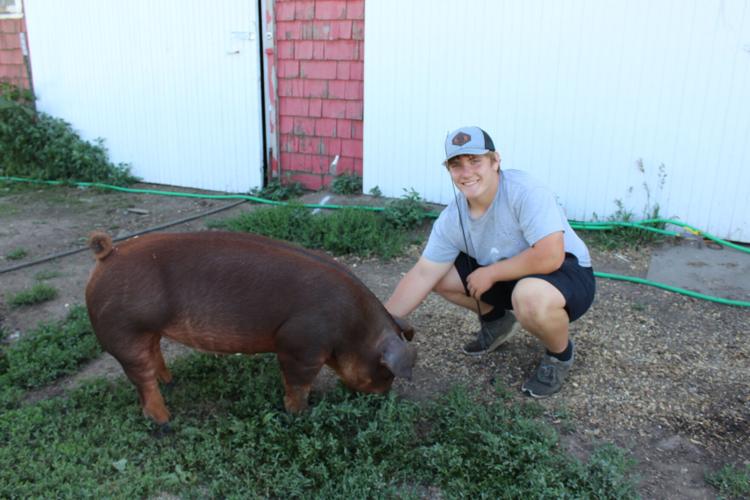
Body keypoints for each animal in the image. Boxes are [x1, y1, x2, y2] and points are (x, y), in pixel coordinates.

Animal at [84, 231, 416, 425]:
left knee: (154, 356)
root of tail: (108, 254)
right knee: (142, 380)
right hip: (124, 331)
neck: (352, 329)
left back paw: (172, 383)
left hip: (146, 331)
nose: (384, 397)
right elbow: (298, 385)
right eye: (386, 372)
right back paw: (165, 422)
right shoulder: (300, 347)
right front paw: (301, 413)